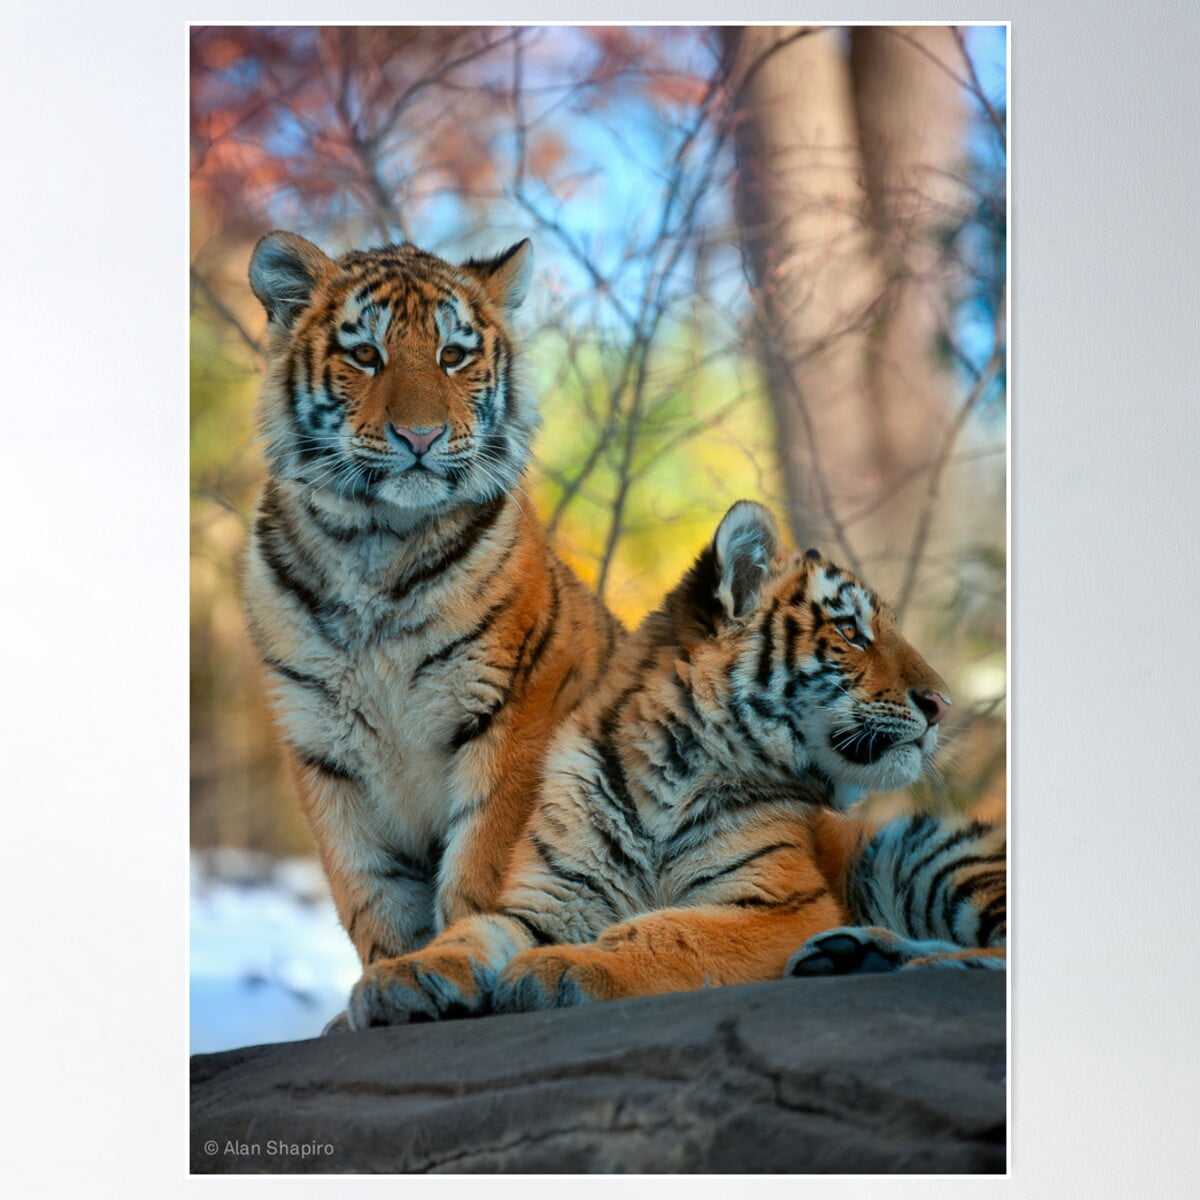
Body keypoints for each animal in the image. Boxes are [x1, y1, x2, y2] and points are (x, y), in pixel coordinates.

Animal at [242, 231, 625, 984]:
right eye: (366, 355)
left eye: (453, 355)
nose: (419, 436)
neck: (375, 543)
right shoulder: (326, 750)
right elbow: (370, 891)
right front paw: (389, 985)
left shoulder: (514, 713)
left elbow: (483, 871)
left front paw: (450, 969)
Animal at [346, 499, 1006, 1027]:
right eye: (850, 632)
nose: (942, 704)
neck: (669, 770)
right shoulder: (553, 894)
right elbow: (473, 932)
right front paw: (398, 978)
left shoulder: (777, 905)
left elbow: (668, 930)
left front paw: (561, 966)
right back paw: (852, 957)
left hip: (925, 852)